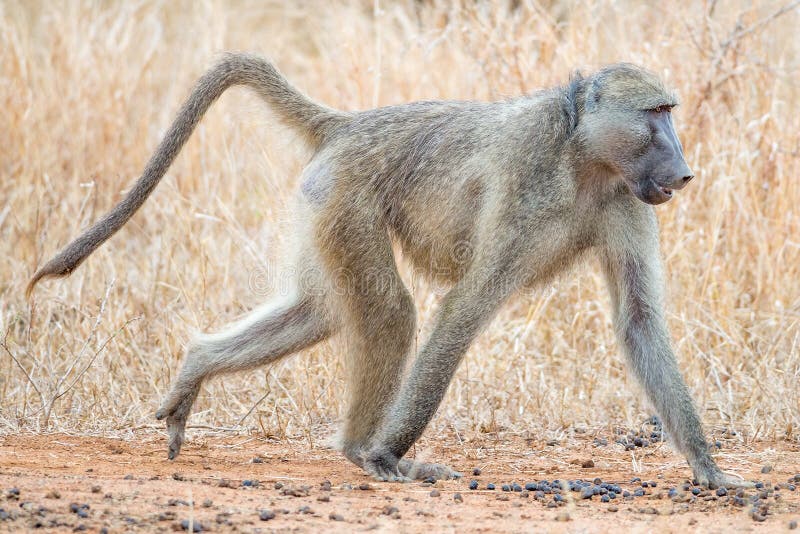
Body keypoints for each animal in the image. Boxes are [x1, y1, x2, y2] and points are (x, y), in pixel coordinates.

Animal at [27, 52, 751, 488]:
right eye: (656, 115)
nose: (685, 170)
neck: (582, 154)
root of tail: (348, 125)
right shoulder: (527, 184)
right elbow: (466, 306)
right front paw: (385, 454)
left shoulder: (628, 201)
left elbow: (639, 321)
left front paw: (710, 473)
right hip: (347, 199)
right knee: (388, 314)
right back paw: (359, 453)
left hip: (324, 205)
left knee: (317, 313)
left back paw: (197, 368)